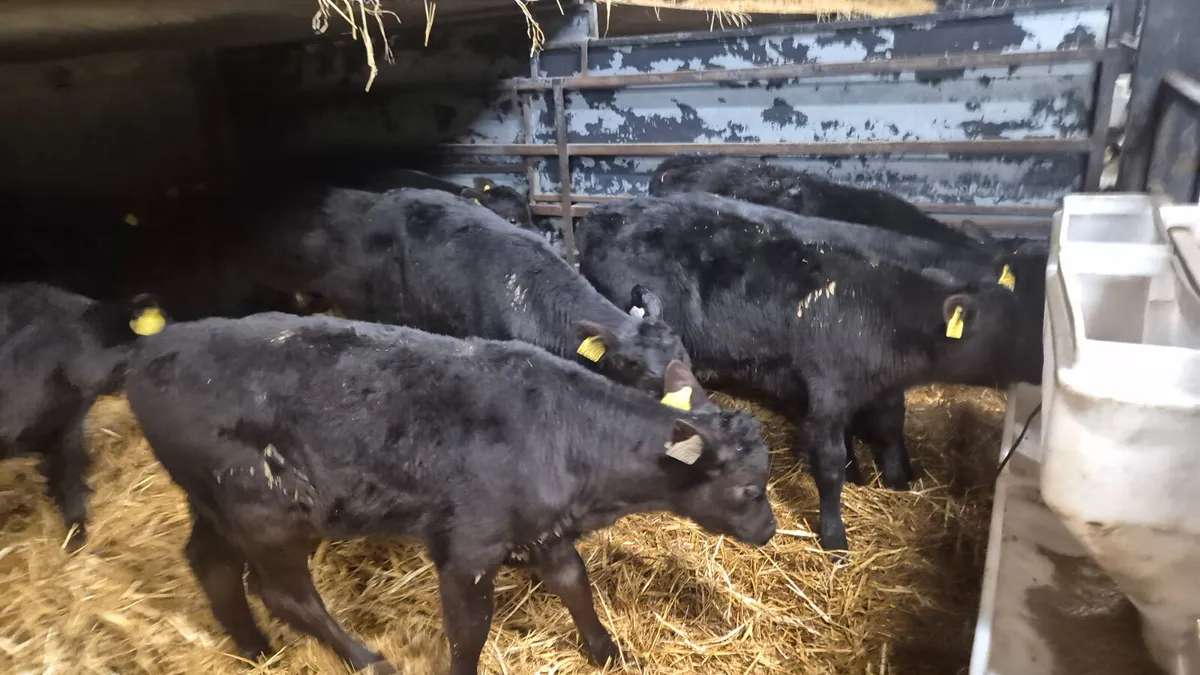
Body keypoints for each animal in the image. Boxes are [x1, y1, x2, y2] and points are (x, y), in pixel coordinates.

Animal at [125, 312, 775, 675]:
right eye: (748, 487)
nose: (769, 529)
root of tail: (149, 353)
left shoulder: (540, 527)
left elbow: (574, 582)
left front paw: (604, 650)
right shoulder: (468, 549)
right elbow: (469, 629)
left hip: (214, 502)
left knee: (210, 562)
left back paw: (253, 648)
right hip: (265, 512)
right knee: (285, 594)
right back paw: (368, 661)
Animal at [574, 195, 1045, 555]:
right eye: (1015, 327)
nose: (1044, 361)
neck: (881, 313)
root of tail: (604, 212)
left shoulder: (882, 390)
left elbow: (890, 426)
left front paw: (895, 482)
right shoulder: (827, 395)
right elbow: (831, 460)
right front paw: (835, 535)